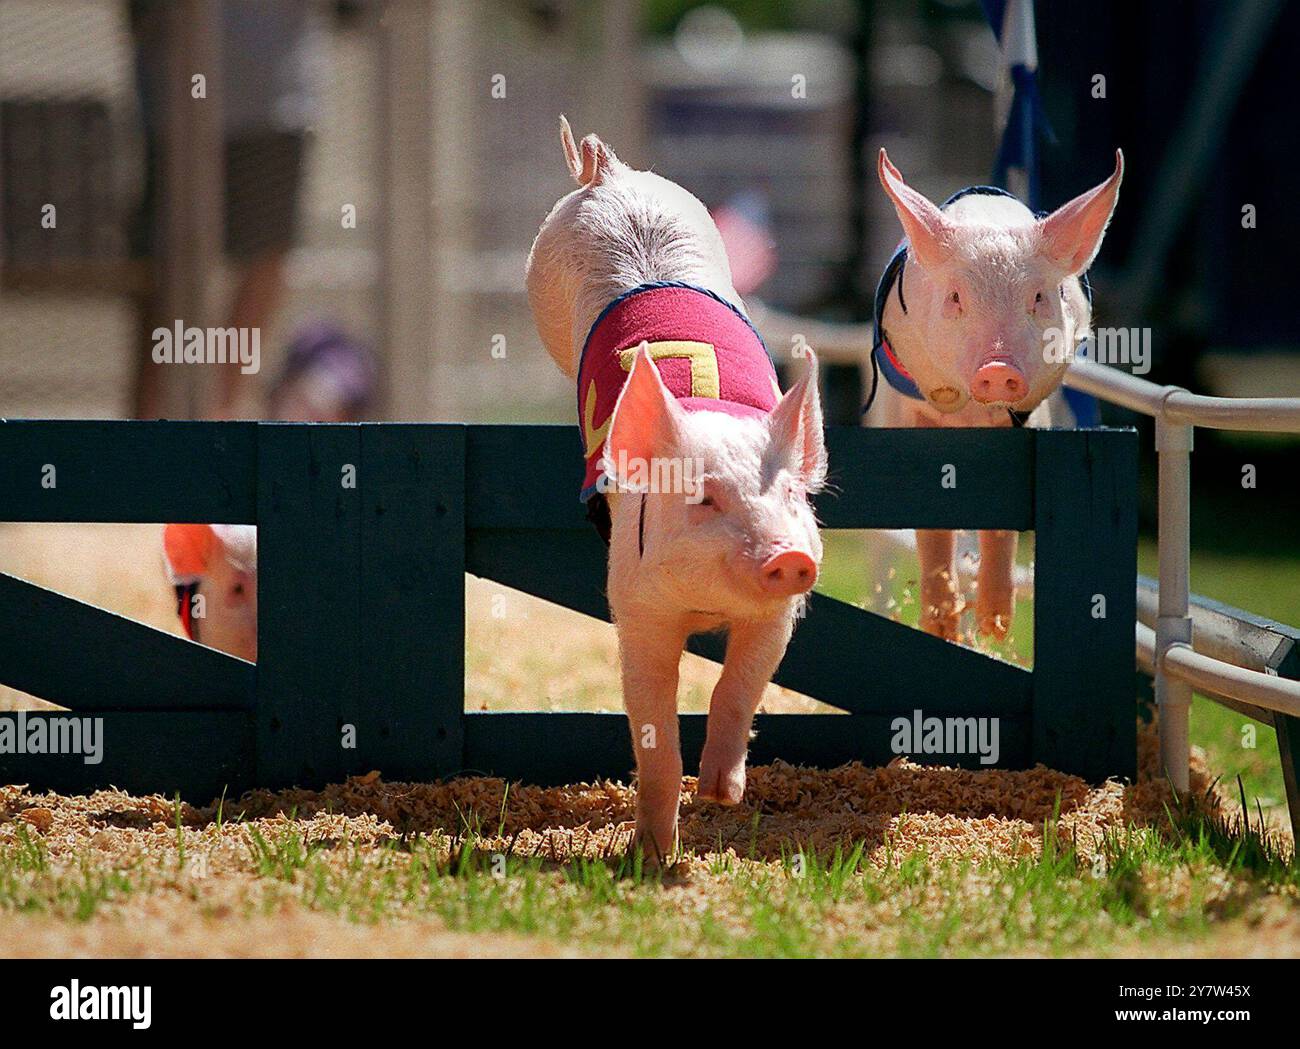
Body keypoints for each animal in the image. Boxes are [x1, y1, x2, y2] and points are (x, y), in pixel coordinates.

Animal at [526, 118, 827, 862]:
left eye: (790, 496)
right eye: (703, 499)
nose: (788, 555)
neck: (707, 608)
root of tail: (607, 175)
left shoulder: (780, 614)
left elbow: (741, 684)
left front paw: (722, 794)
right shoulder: (635, 604)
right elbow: (652, 721)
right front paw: (654, 856)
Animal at [871, 148, 1123, 641]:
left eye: (1039, 297)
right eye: (955, 297)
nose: (998, 368)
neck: (971, 413)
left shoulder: (1030, 412)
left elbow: (1003, 518)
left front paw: (995, 627)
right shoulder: (913, 411)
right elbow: (932, 524)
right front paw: (942, 626)